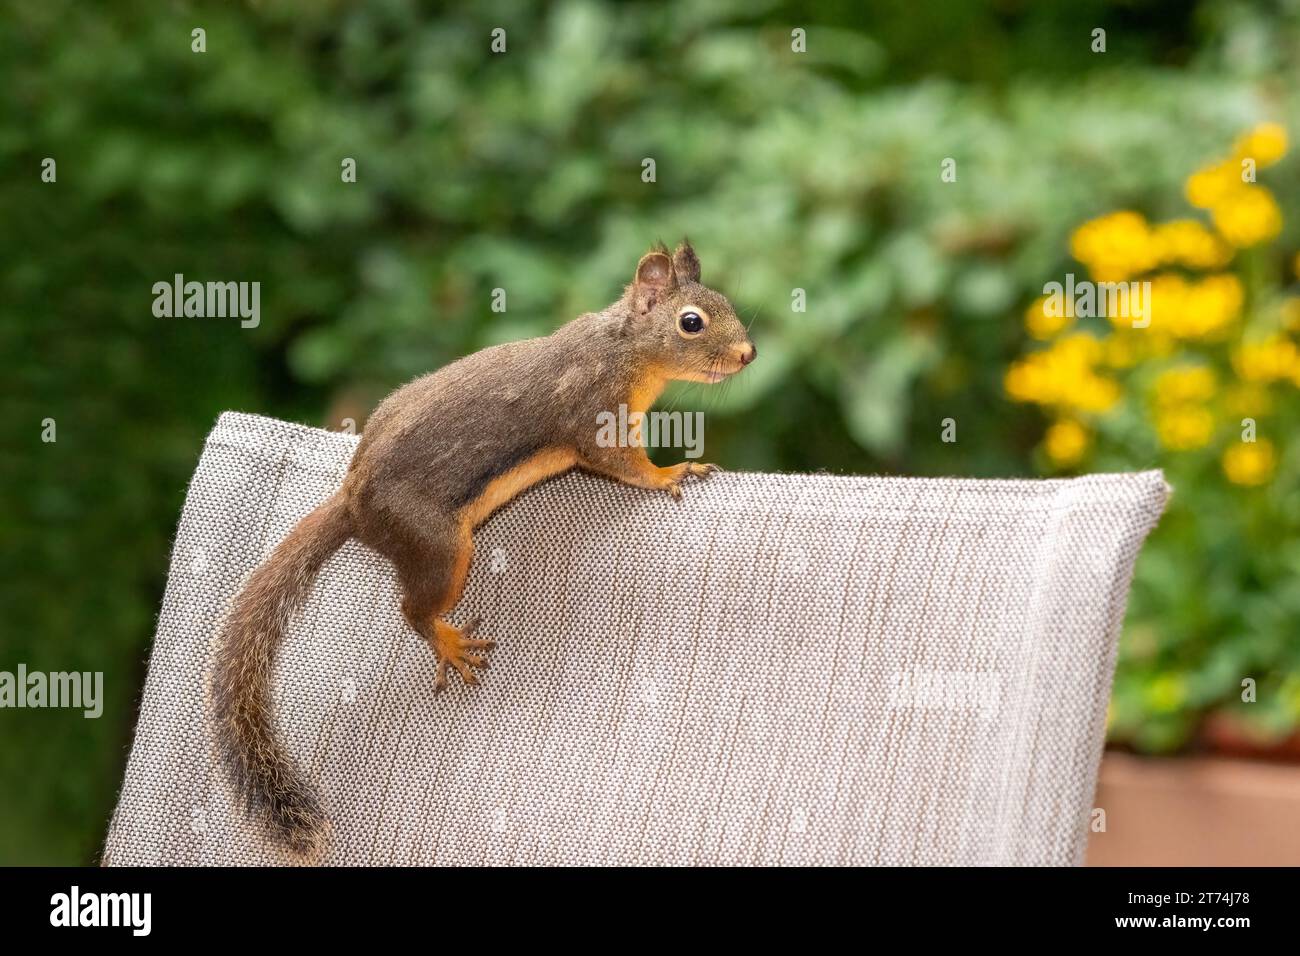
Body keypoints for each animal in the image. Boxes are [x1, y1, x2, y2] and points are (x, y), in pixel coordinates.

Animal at [210, 240, 757, 857]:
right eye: (692, 323)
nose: (748, 354)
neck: (623, 349)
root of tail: (353, 503)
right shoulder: (595, 414)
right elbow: (624, 467)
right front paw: (670, 474)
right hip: (441, 547)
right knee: (413, 608)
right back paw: (448, 643)